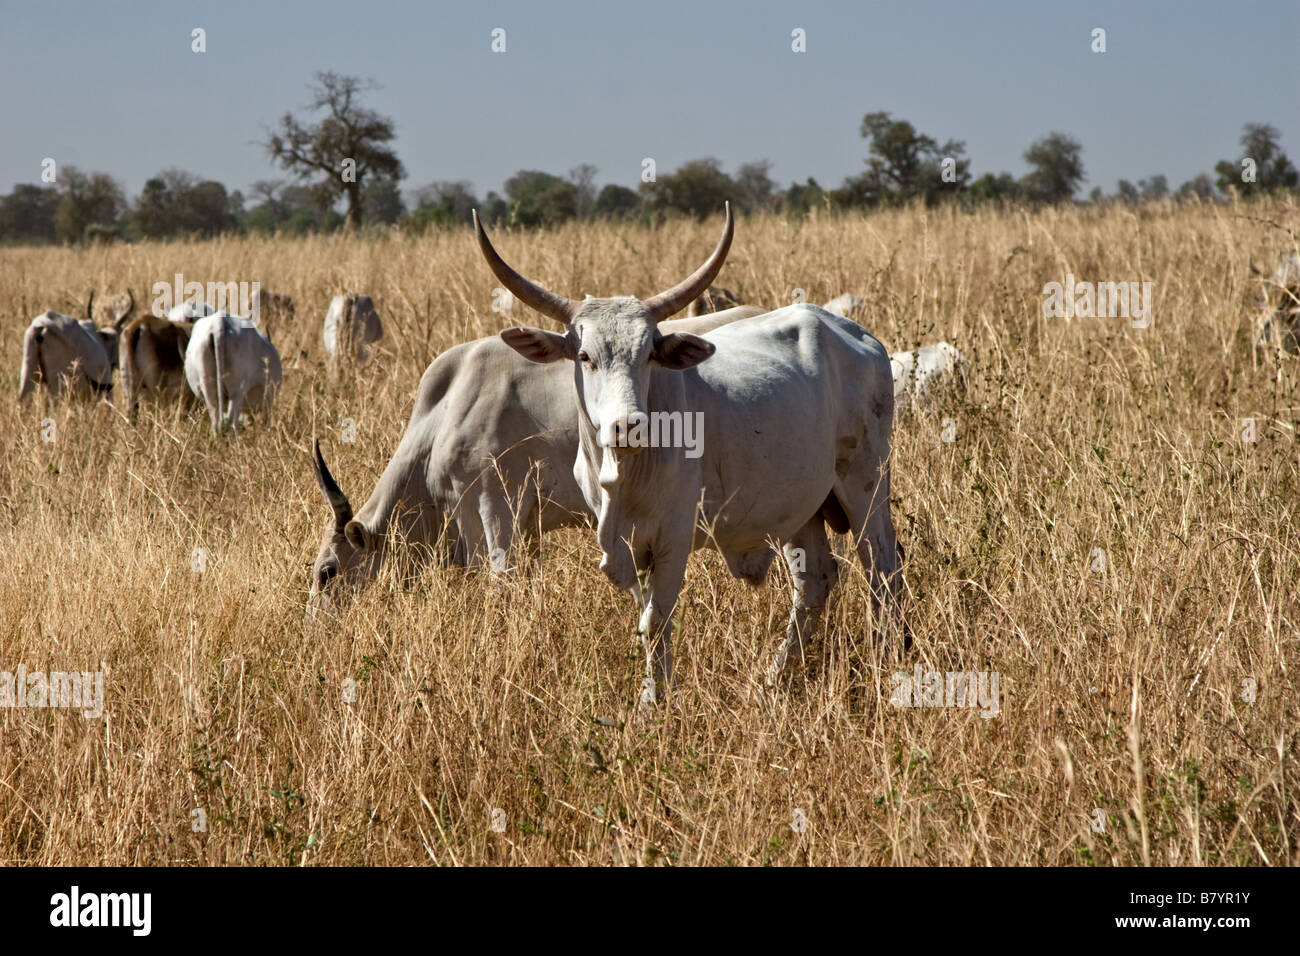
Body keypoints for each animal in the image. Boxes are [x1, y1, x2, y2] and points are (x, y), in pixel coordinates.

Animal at [478, 204, 901, 704]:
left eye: (648, 353)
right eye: (583, 356)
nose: (627, 426)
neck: (625, 474)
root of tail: (857, 334)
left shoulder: (673, 538)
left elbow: (657, 621)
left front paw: (653, 704)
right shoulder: (626, 543)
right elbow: (646, 621)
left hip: (866, 484)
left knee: (882, 570)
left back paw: (885, 668)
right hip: (801, 506)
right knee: (814, 582)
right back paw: (774, 679)